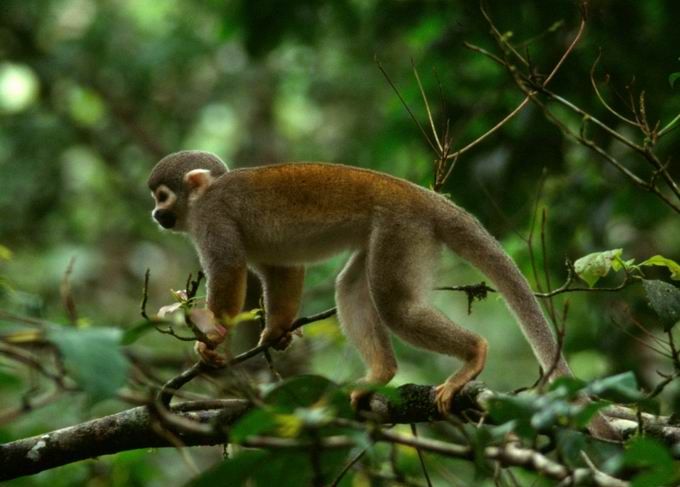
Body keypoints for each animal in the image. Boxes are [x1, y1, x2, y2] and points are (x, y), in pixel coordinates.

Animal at [147, 150, 616, 438]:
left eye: (163, 195)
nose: (155, 213)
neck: (204, 196)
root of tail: (423, 196)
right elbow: (283, 269)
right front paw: (276, 332)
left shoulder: (213, 219)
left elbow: (228, 271)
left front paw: (213, 340)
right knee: (352, 289)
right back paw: (381, 374)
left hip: (401, 228)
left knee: (394, 304)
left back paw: (473, 355)